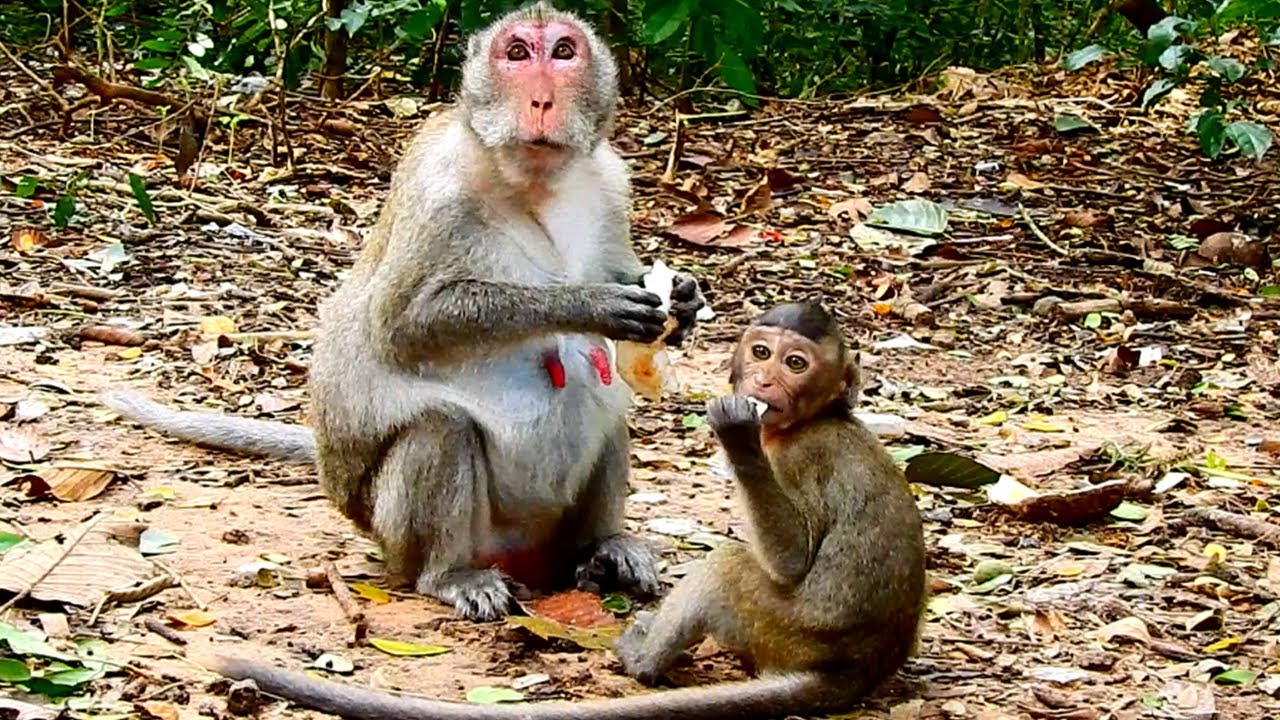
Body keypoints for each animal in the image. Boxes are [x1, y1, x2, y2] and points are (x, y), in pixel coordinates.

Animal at [101, 1, 706, 623]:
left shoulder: (610, 178)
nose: (541, 100)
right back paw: (450, 574)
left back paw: (603, 549)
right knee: (440, 430)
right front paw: (589, 303)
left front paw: (681, 297)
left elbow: (623, 268)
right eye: (516, 54)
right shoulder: (435, 184)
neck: (532, 183)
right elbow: (403, 324)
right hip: (403, 533)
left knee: (607, 416)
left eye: (563, 52)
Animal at [193, 302, 927, 720]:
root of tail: (858, 667)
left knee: (728, 568)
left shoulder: (798, 459)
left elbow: (795, 558)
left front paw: (736, 434)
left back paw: (641, 658)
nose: (765, 381)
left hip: (784, 628)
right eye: (763, 351)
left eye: (796, 363)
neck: (817, 418)